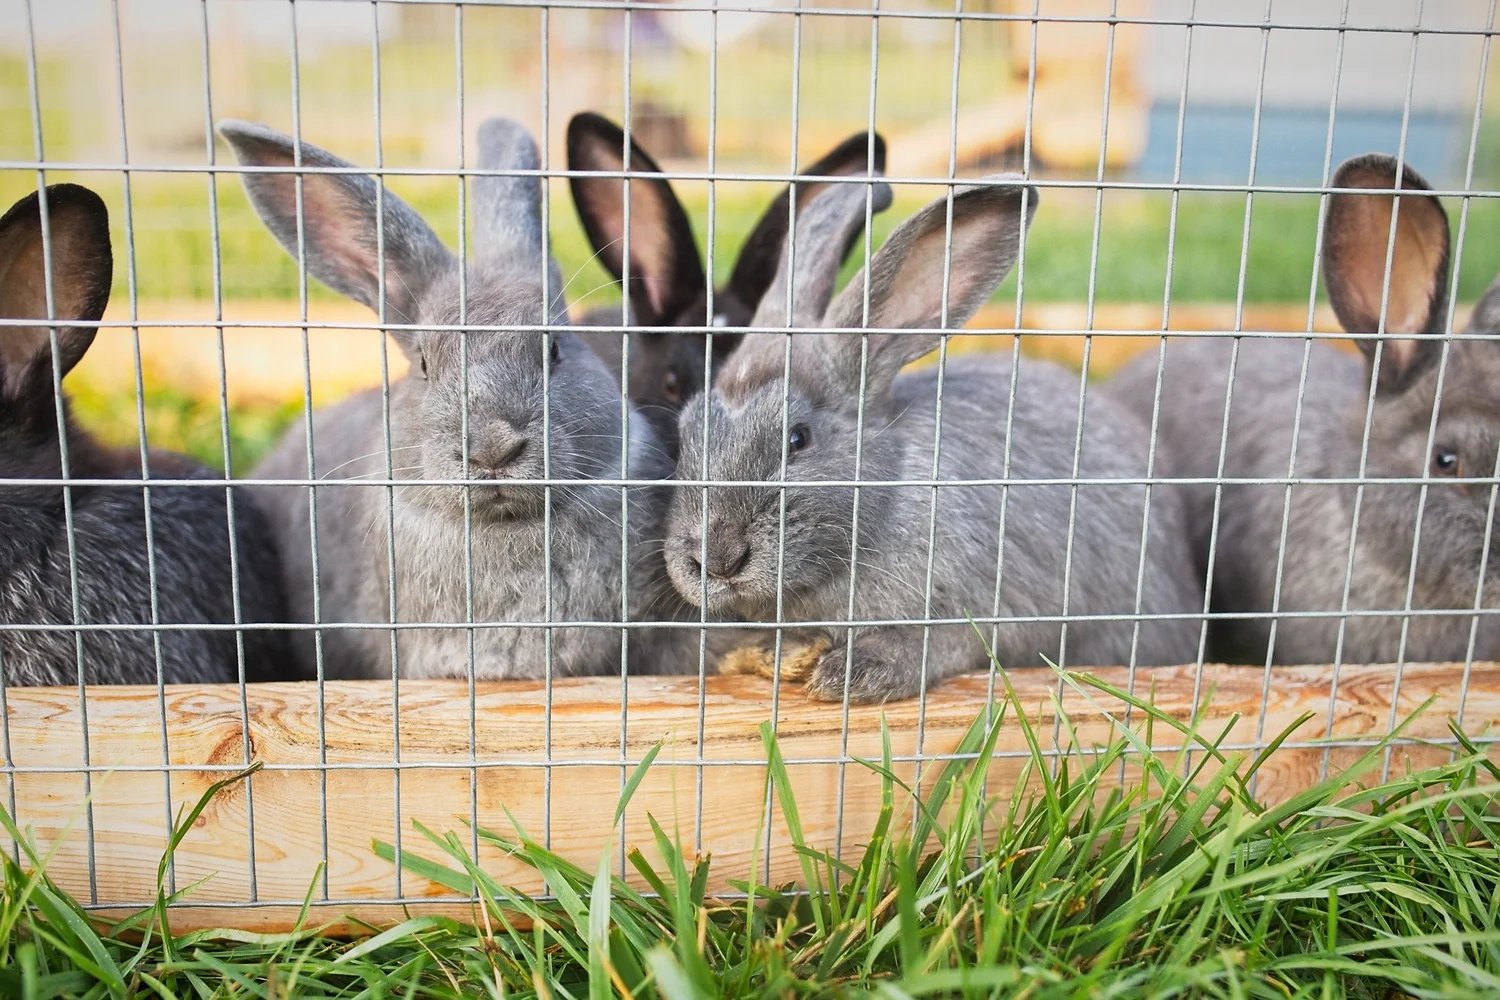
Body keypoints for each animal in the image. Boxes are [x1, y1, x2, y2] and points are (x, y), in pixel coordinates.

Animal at [661, 177, 1204, 703]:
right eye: (686, 435)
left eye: (798, 438)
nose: (717, 560)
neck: (888, 493)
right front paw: (783, 655)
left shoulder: (984, 606)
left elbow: (940, 643)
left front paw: (852, 675)